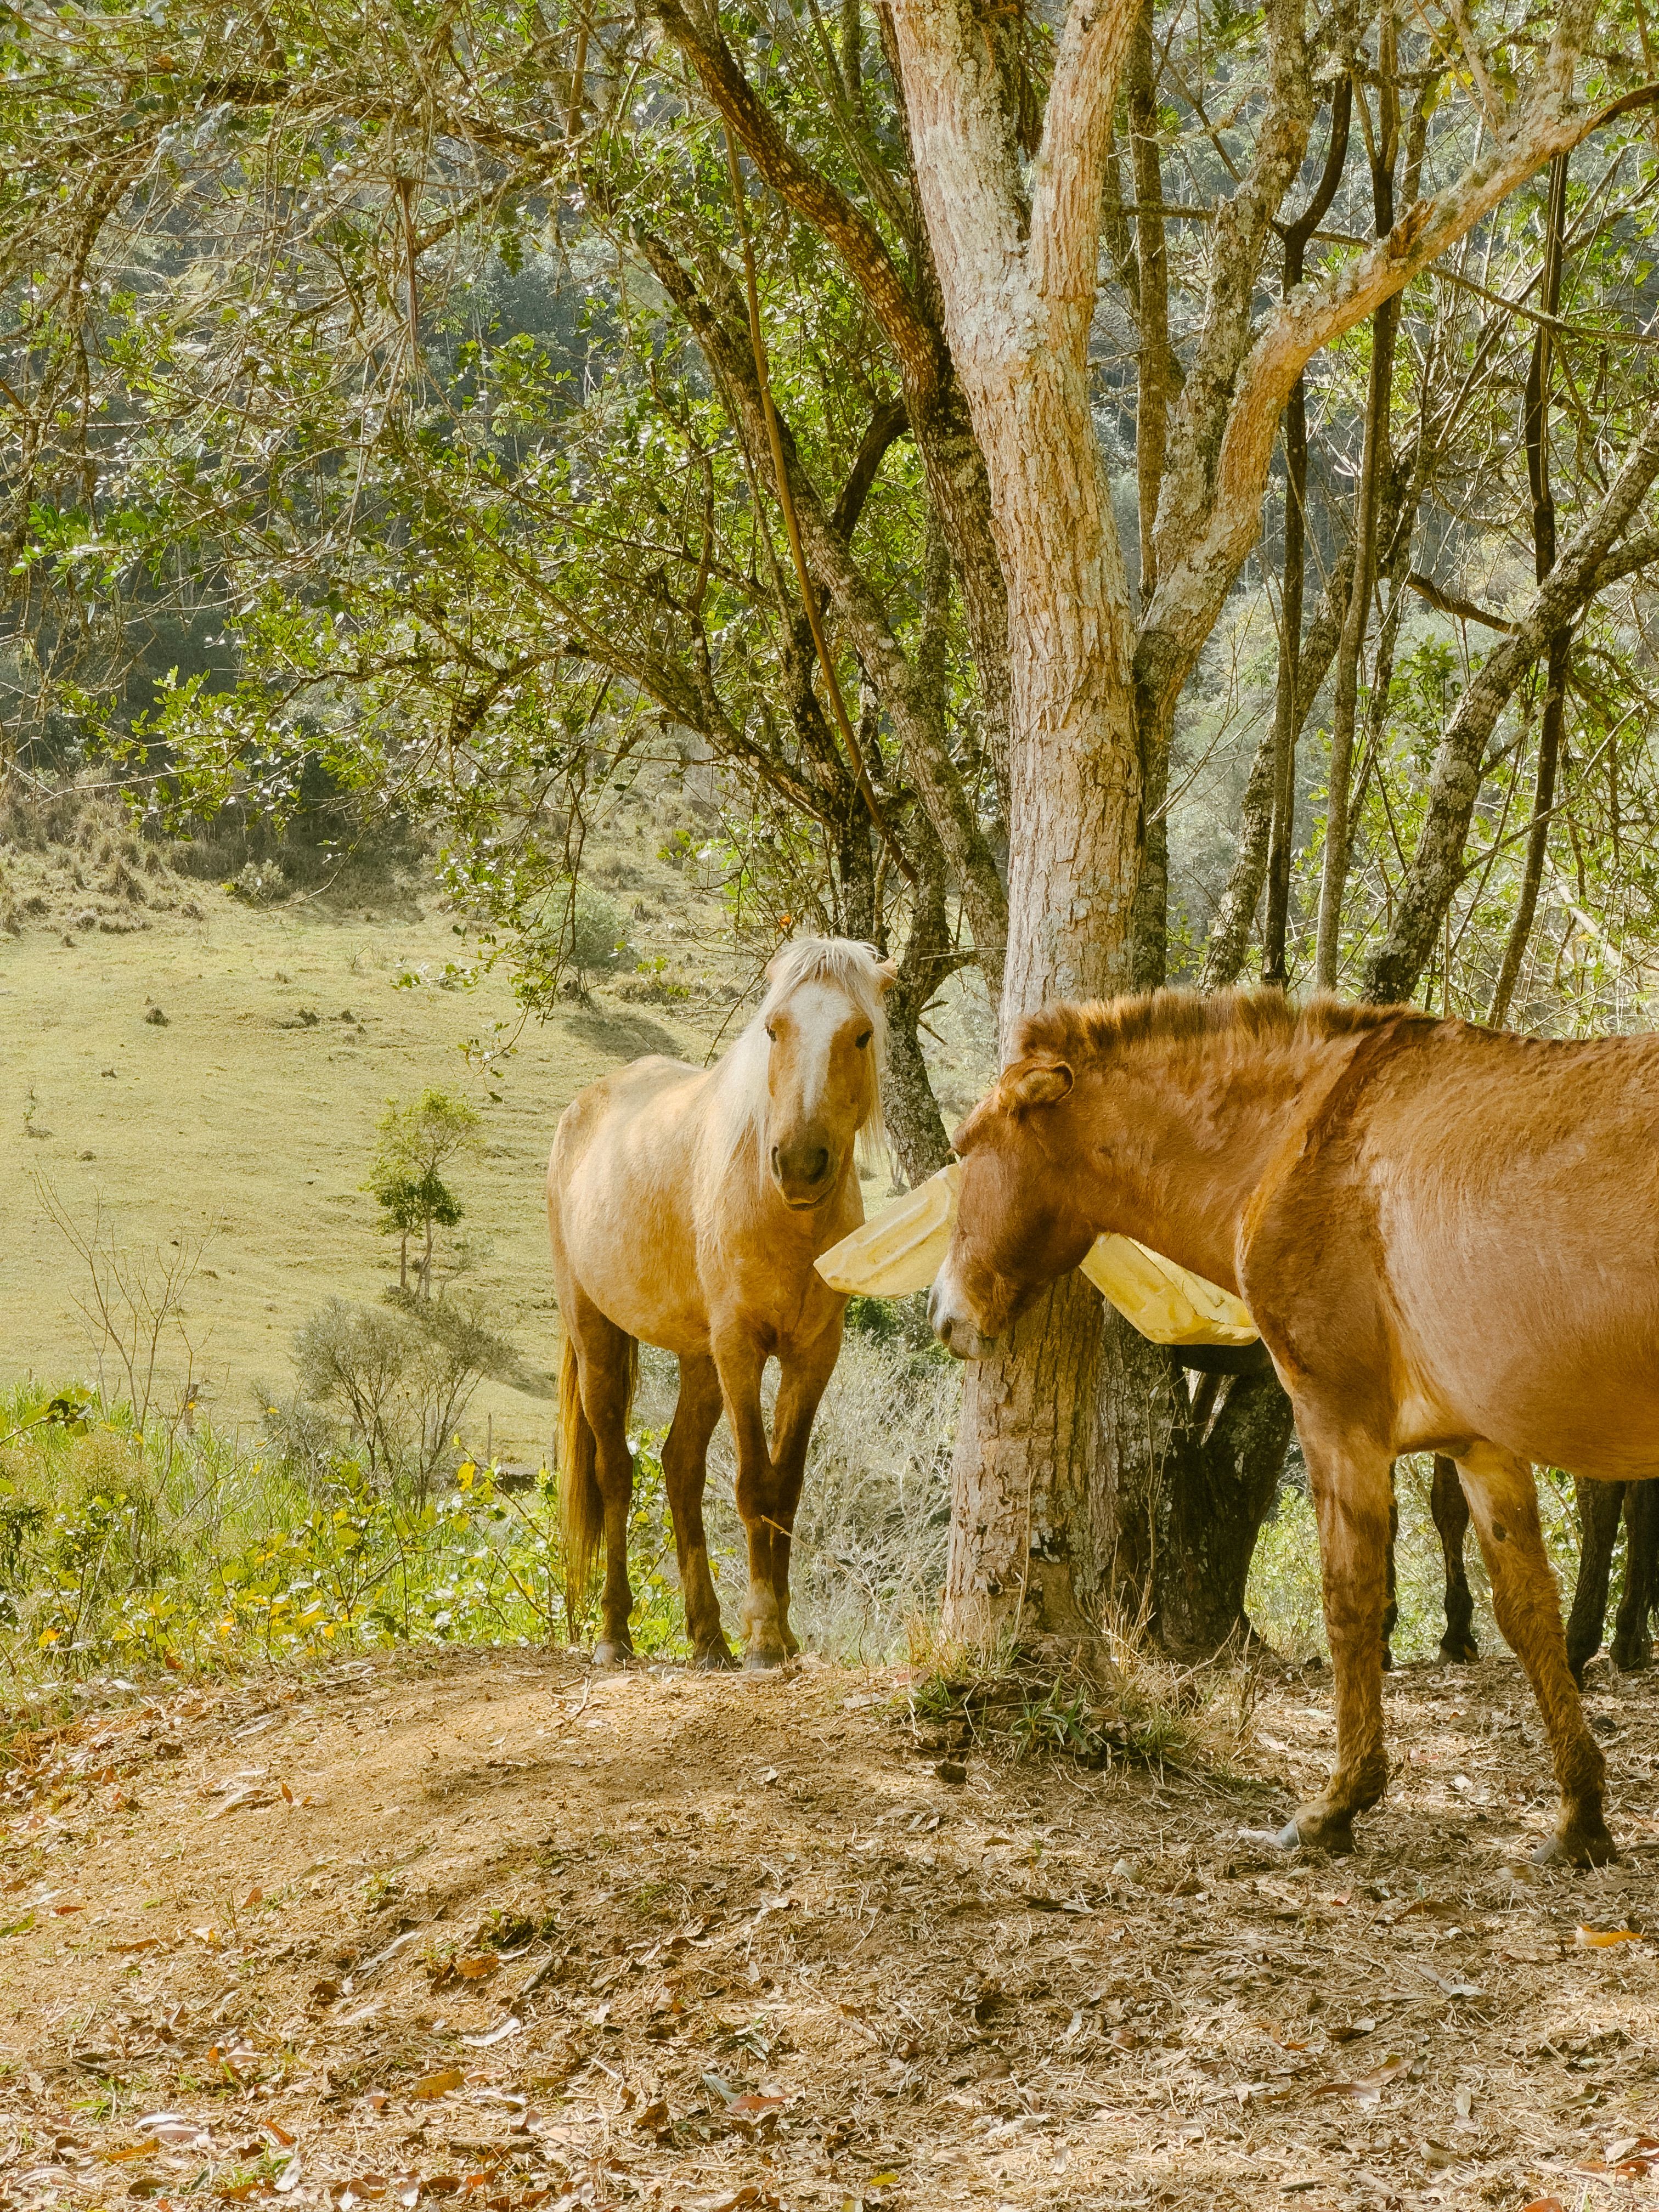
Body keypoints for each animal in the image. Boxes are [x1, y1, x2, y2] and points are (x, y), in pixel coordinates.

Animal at [547, 936, 894, 1669]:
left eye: (861, 1034)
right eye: (773, 1029)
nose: (800, 1163)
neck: (783, 1218)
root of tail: (583, 1108)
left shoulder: (812, 1354)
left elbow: (784, 1487)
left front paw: (779, 1633)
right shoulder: (741, 1348)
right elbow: (753, 1483)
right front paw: (763, 1633)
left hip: (697, 1358)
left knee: (679, 1467)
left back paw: (707, 1636)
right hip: (597, 1337)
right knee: (616, 1470)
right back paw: (614, 1632)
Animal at [928, 988, 1659, 1866]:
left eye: (968, 1149)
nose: (942, 1313)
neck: (1302, 1135)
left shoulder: (1338, 1422)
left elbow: (1351, 1599)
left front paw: (1337, 1804)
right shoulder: (1481, 1448)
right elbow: (1527, 1614)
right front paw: (1581, 1815)